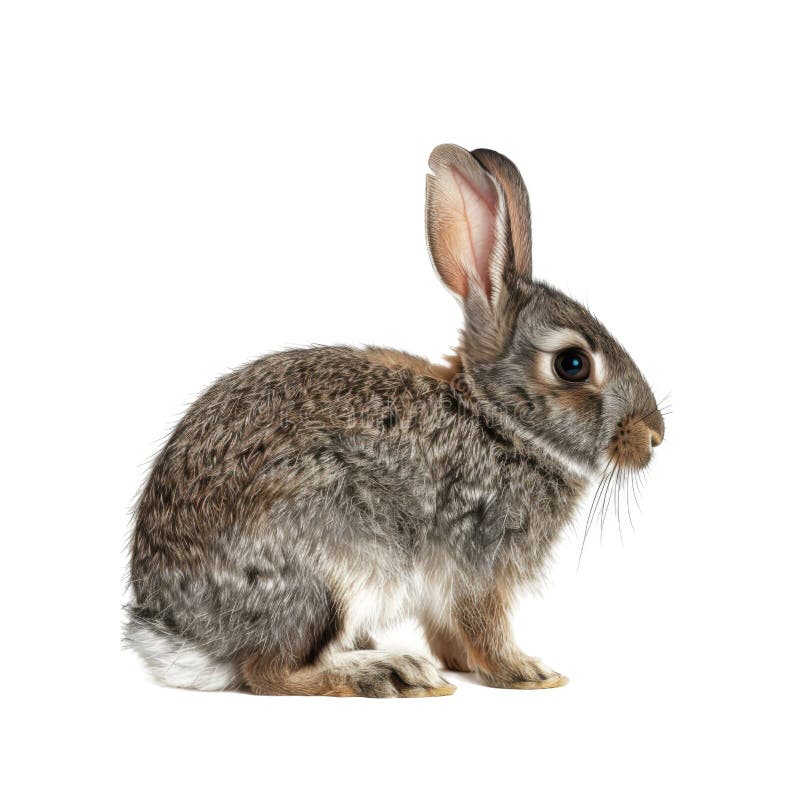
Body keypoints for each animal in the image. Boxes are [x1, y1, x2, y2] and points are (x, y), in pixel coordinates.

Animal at [126, 144, 664, 697]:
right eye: (572, 364)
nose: (654, 436)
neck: (497, 423)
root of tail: (182, 636)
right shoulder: (478, 551)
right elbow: (484, 622)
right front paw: (526, 672)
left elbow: (448, 628)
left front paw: (464, 665)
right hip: (324, 568)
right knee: (269, 672)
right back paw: (391, 673)